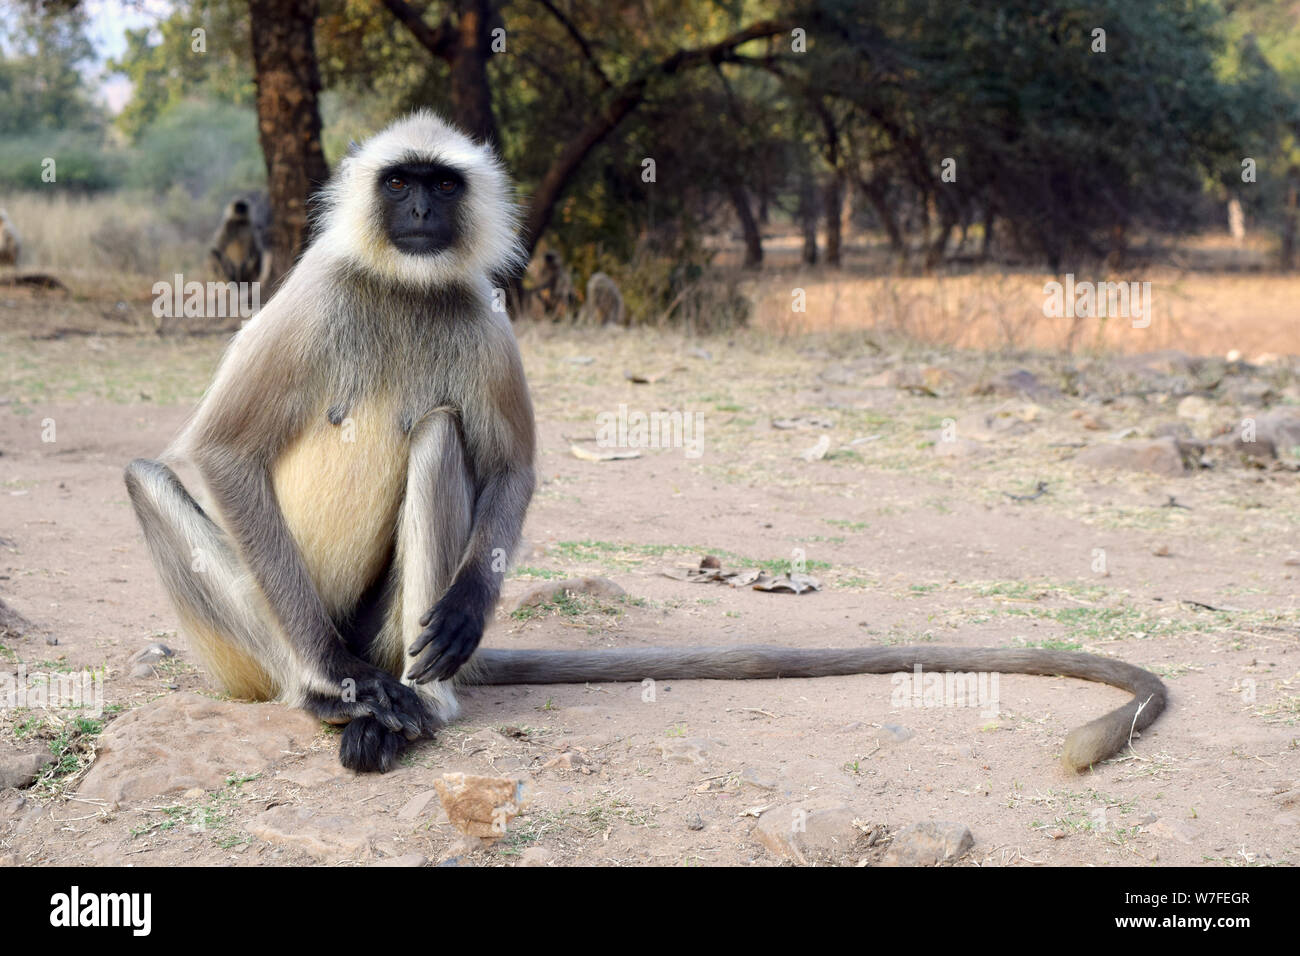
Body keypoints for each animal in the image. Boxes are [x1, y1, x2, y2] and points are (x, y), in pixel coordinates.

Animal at [125, 111, 1166, 776]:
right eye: (400, 184)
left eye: (440, 185)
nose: (419, 212)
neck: (407, 289)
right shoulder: (311, 296)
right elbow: (221, 454)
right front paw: (331, 685)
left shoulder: (485, 317)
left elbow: (513, 466)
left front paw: (466, 611)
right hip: (257, 655)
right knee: (149, 478)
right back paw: (337, 698)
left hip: (391, 634)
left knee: (439, 436)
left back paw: (421, 706)